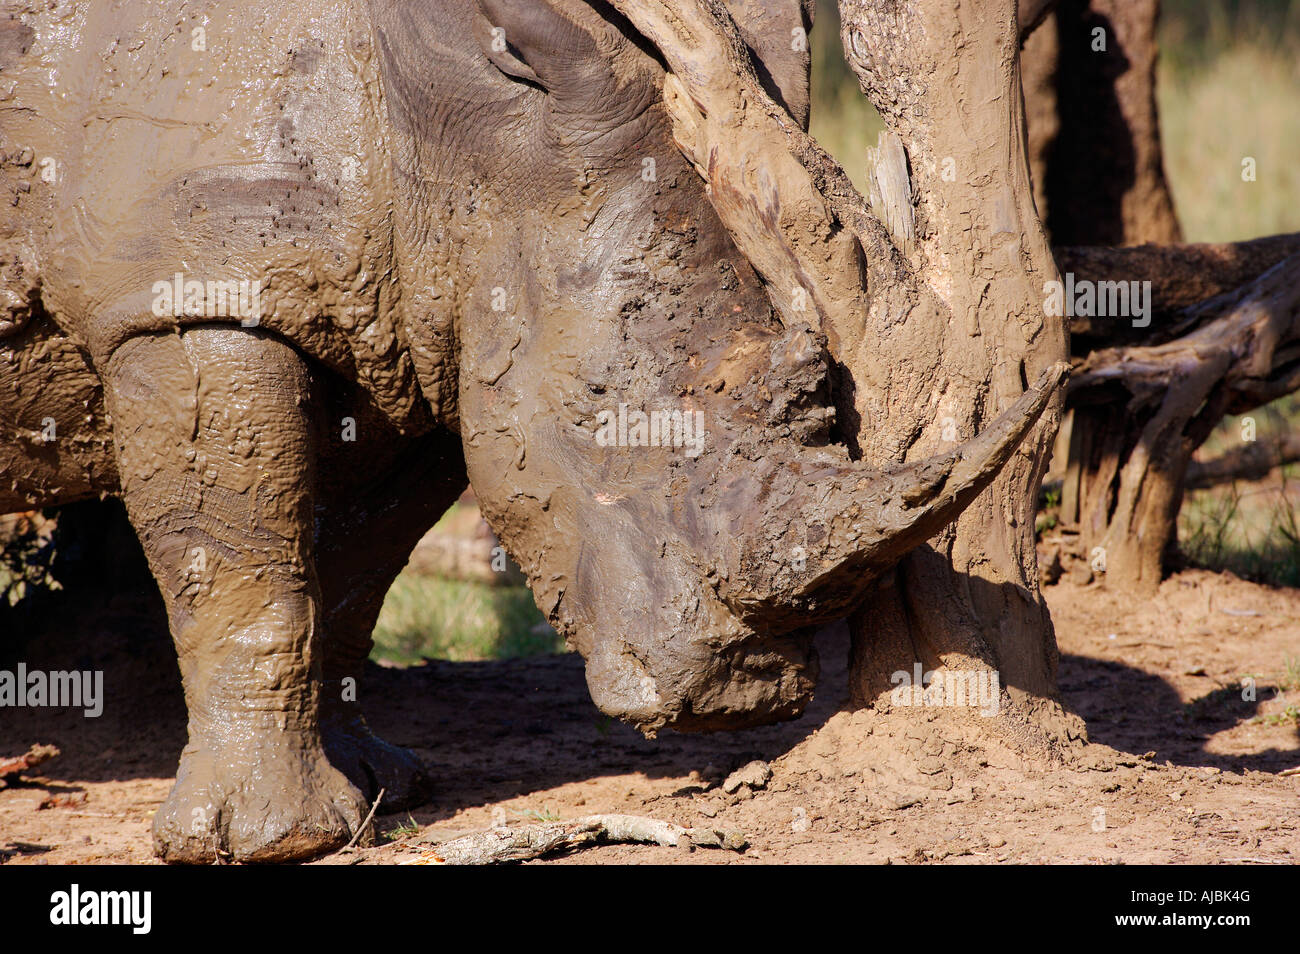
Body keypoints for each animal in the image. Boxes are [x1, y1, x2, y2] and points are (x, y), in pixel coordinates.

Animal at [0, 0, 1060, 862]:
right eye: (598, 418)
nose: (749, 695)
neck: (451, 127)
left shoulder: (426, 324)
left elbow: (352, 570)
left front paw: (384, 787)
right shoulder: (181, 294)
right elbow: (241, 573)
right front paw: (269, 843)